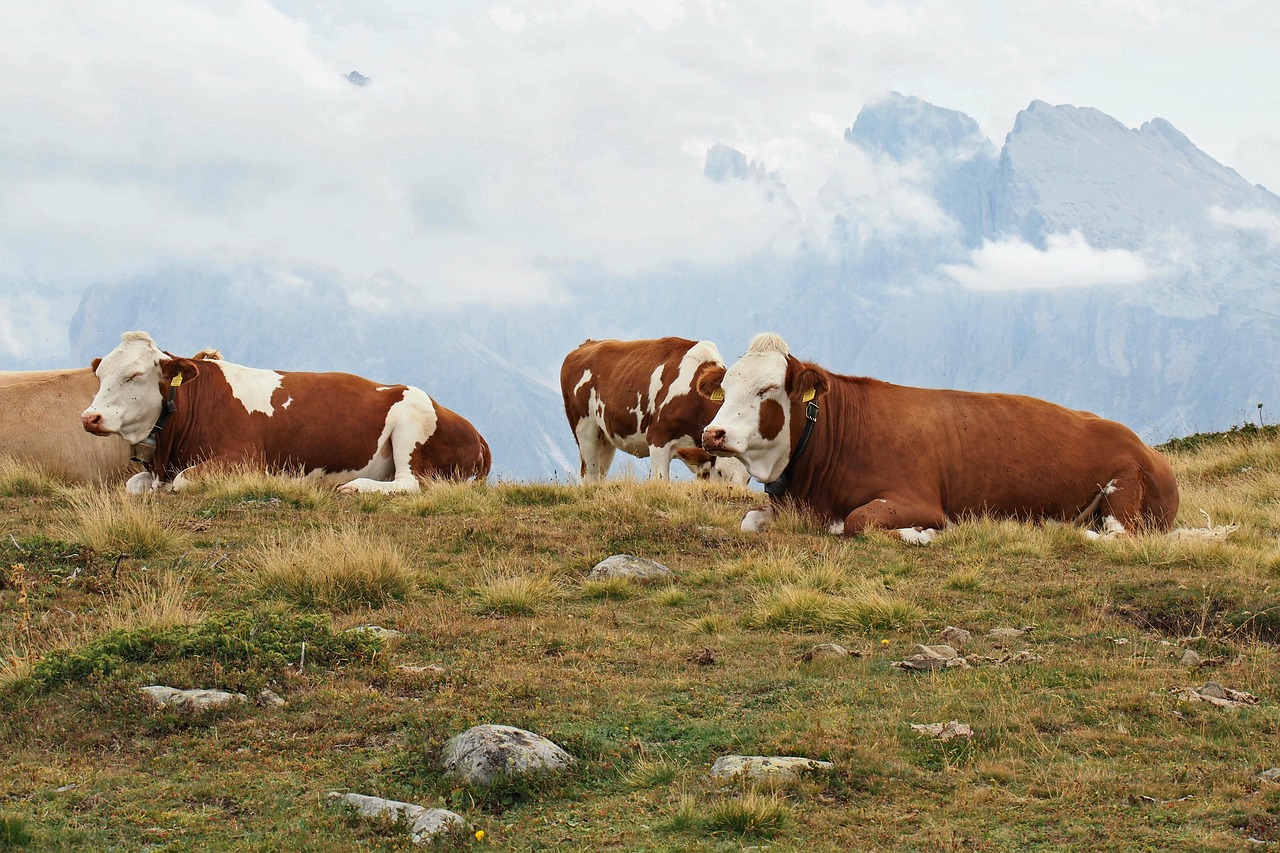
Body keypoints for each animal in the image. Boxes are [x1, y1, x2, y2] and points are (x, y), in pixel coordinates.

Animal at [81, 331, 491, 494]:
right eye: (99, 375)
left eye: (135, 375)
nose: (90, 417)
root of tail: (475, 431)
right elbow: (133, 485)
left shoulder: (245, 459)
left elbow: (183, 481)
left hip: (411, 418)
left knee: (411, 483)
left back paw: (354, 486)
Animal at [560, 337, 749, 484]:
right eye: (721, 473)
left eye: (748, 479)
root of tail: (587, 344)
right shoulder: (658, 439)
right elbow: (662, 481)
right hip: (584, 428)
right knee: (590, 475)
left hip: (605, 436)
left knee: (600, 474)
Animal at [699, 332, 1179, 542]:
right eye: (727, 386)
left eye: (767, 390)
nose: (713, 433)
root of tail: (1145, 447)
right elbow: (749, 519)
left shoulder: (917, 500)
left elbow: (857, 522)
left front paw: (922, 534)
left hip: (1123, 489)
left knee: (1113, 534)